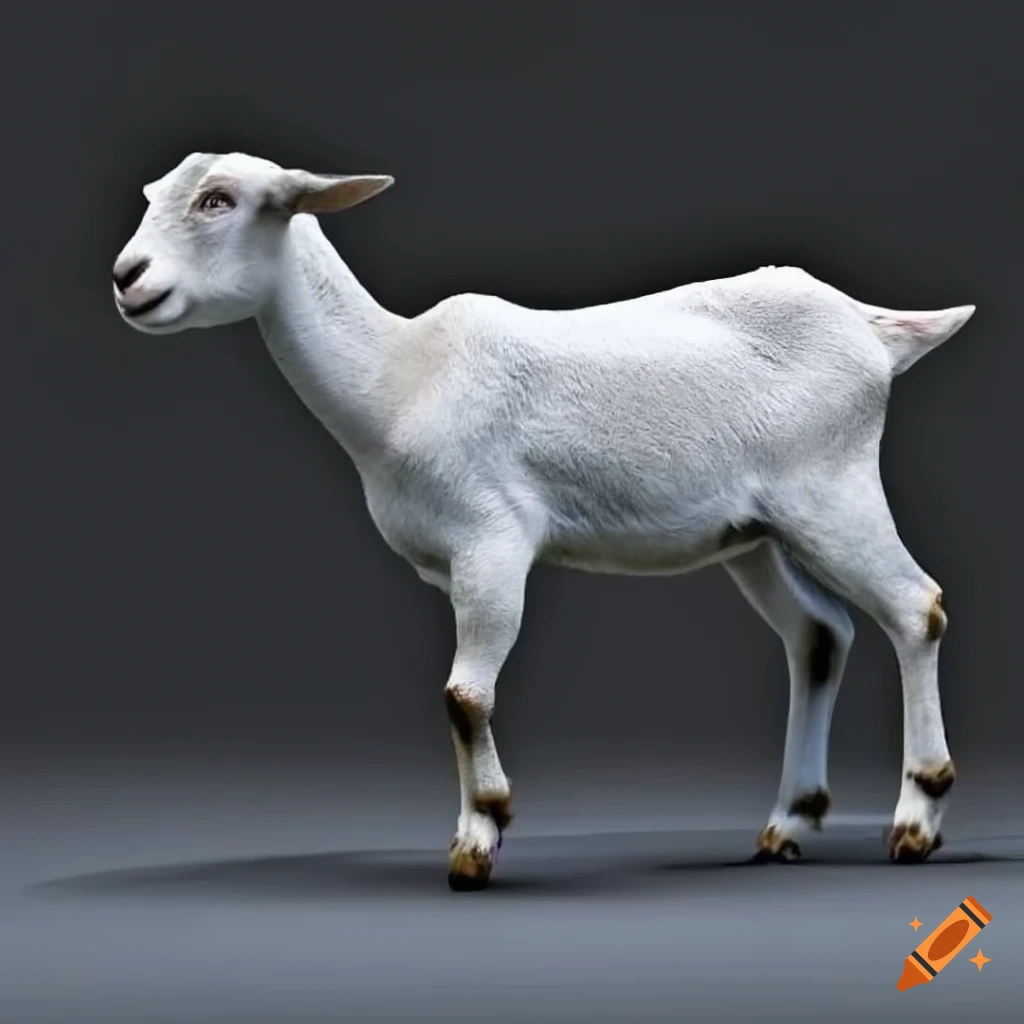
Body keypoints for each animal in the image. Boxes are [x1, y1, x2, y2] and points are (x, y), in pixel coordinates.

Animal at [113, 151, 975, 891]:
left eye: (219, 199)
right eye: (155, 195)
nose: (128, 278)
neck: (398, 377)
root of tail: (874, 329)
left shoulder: (490, 541)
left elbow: (464, 695)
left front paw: (478, 839)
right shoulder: (454, 566)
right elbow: (464, 696)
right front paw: (477, 827)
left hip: (832, 487)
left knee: (915, 607)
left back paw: (916, 820)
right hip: (752, 533)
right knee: (818, 634)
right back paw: (786, 824)